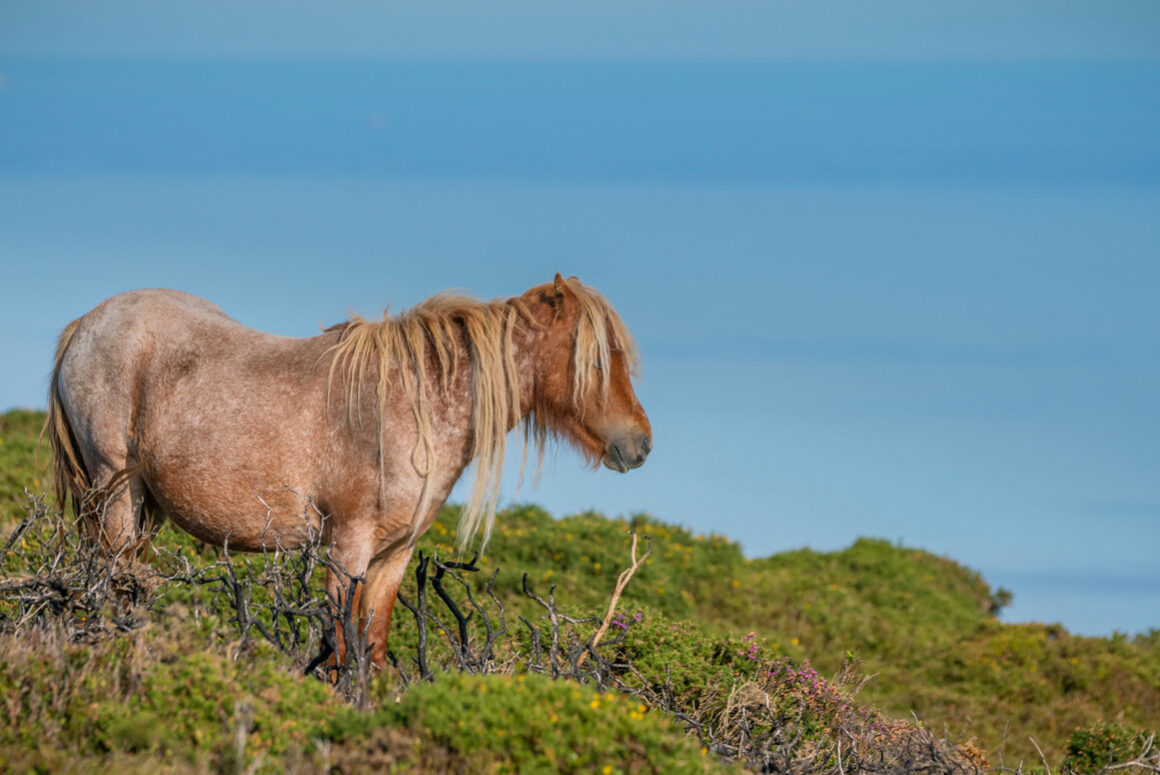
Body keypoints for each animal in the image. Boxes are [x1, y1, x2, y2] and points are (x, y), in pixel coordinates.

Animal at [45, 274, 651, 666]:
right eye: (596, 359)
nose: (640, 443)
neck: (412, 405)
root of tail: (85, 325)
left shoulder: (393, 556)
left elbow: (372, 646)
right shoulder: (347, 548)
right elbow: (338, 646)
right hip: (115, 494)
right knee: (114, 585)